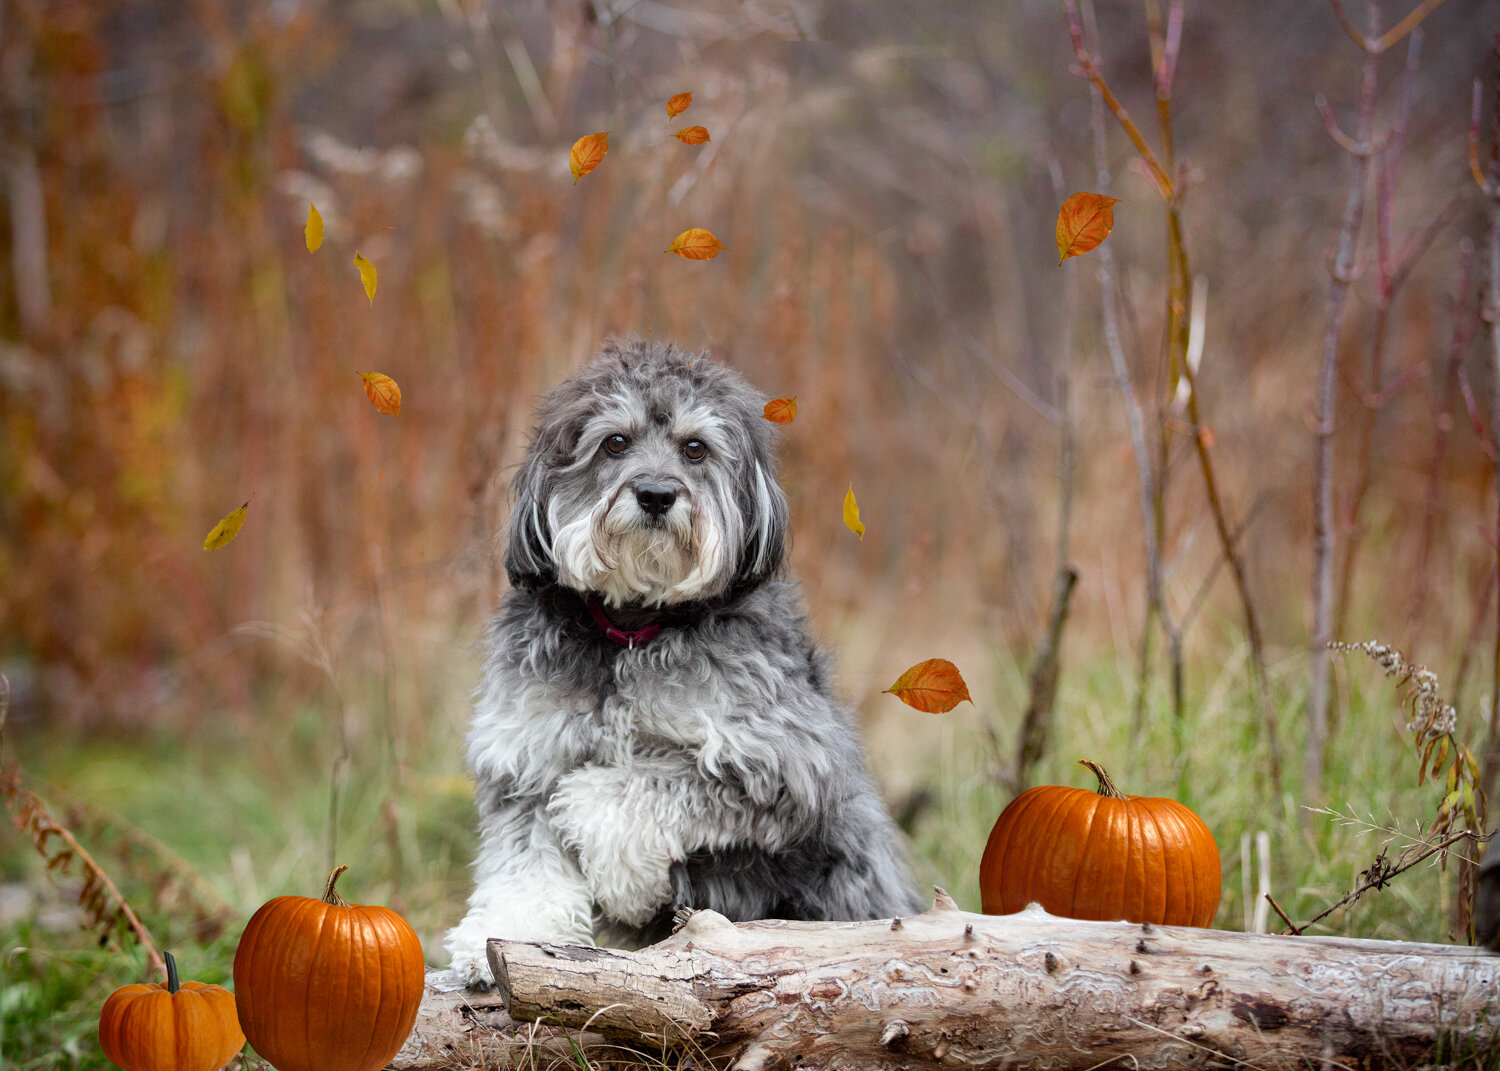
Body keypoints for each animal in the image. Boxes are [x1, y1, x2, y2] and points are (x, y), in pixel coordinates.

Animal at [438, 337, 918, 978]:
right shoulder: (527, 761)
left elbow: (621, 790)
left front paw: (626, 883)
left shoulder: (784, 763)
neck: (633, 631)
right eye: (615, 442)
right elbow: (527, 862)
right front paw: (505, 933)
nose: (657, 495)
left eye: (695, 448)